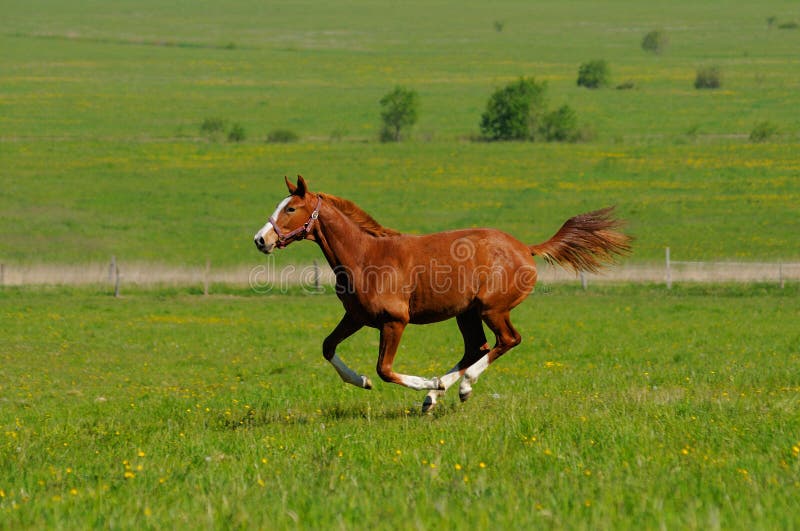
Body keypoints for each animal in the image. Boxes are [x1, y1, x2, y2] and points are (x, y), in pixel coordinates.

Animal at [254, 175, 631, 412]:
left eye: (290, 209)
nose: (261, 240)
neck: (365, 256)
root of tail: (525, 248)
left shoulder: (395, 321)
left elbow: (385, 369)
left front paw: (424, 383)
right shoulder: (356, 317)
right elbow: (328, 347)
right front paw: (362, 382)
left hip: (492, 309)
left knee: (508, 340)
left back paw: (459, 387)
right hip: (466, 313)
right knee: (477, 348)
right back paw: (437, 394)